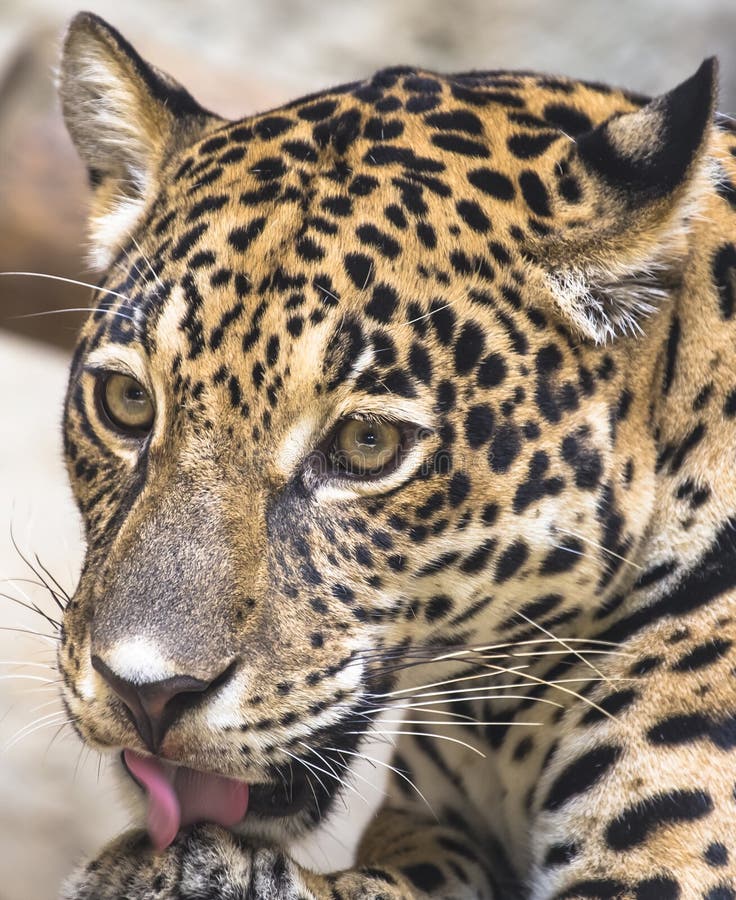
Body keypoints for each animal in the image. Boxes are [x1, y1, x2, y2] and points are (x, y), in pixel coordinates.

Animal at [53, 10, 736, 900]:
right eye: (128, 404)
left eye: (366, 446)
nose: (147, 698)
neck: (505, 704)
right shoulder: (429, 819)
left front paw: (177, 869)